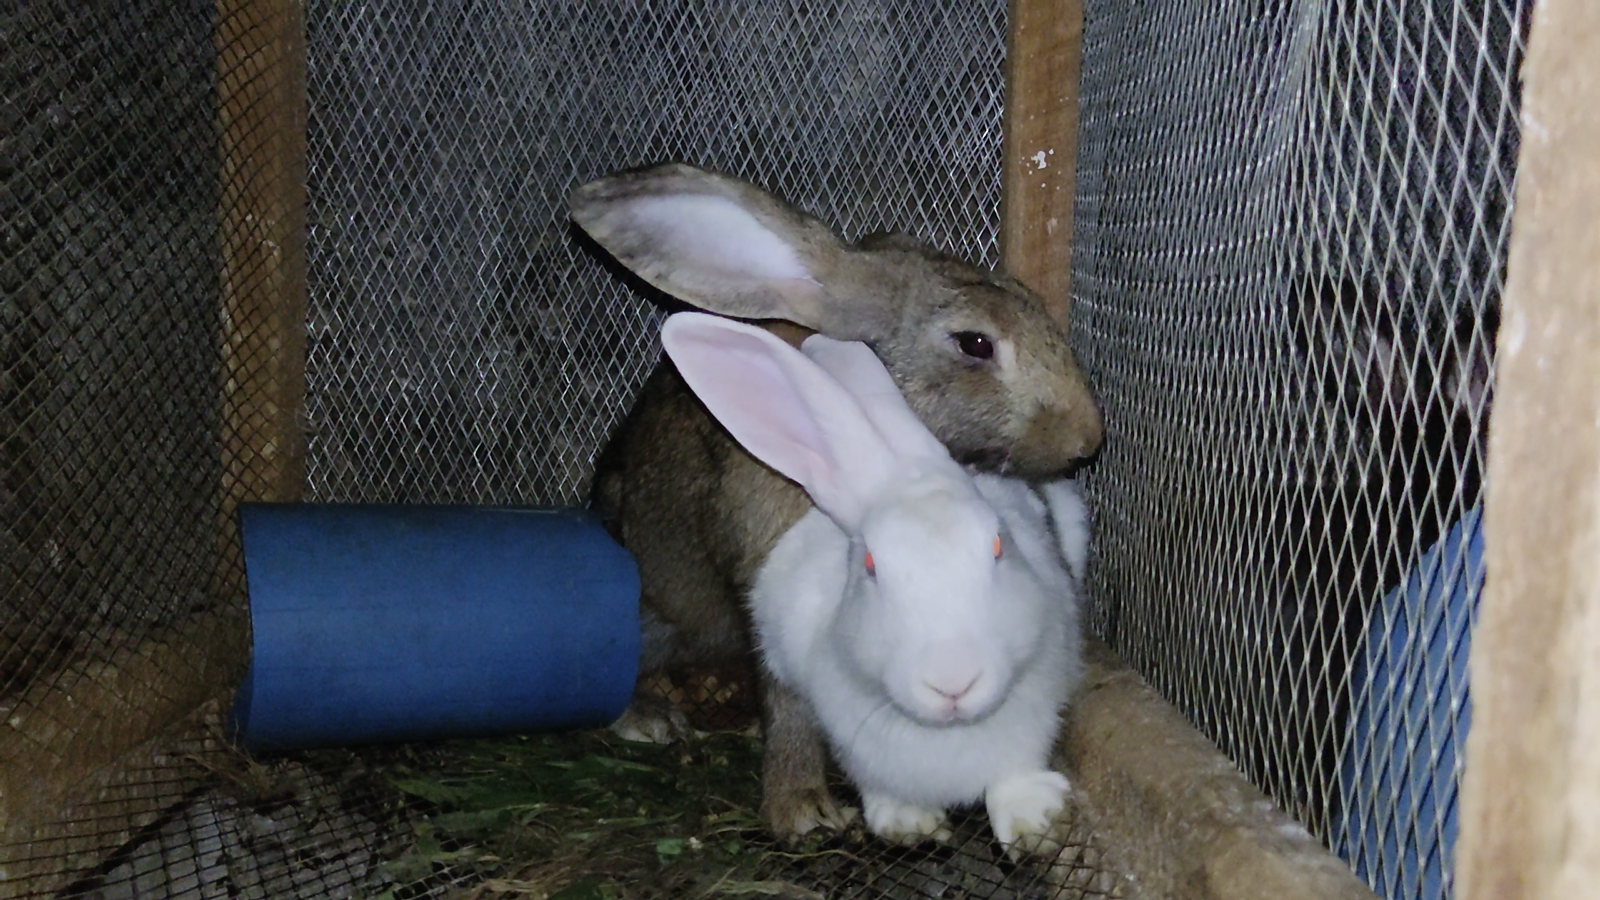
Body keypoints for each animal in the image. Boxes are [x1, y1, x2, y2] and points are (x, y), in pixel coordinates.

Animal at [658, 311, 1088, 848]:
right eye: (870, 567)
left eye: (997, 546)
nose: (953, 681)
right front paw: (906, 823)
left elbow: (1014, 773)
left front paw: (1033, 823)